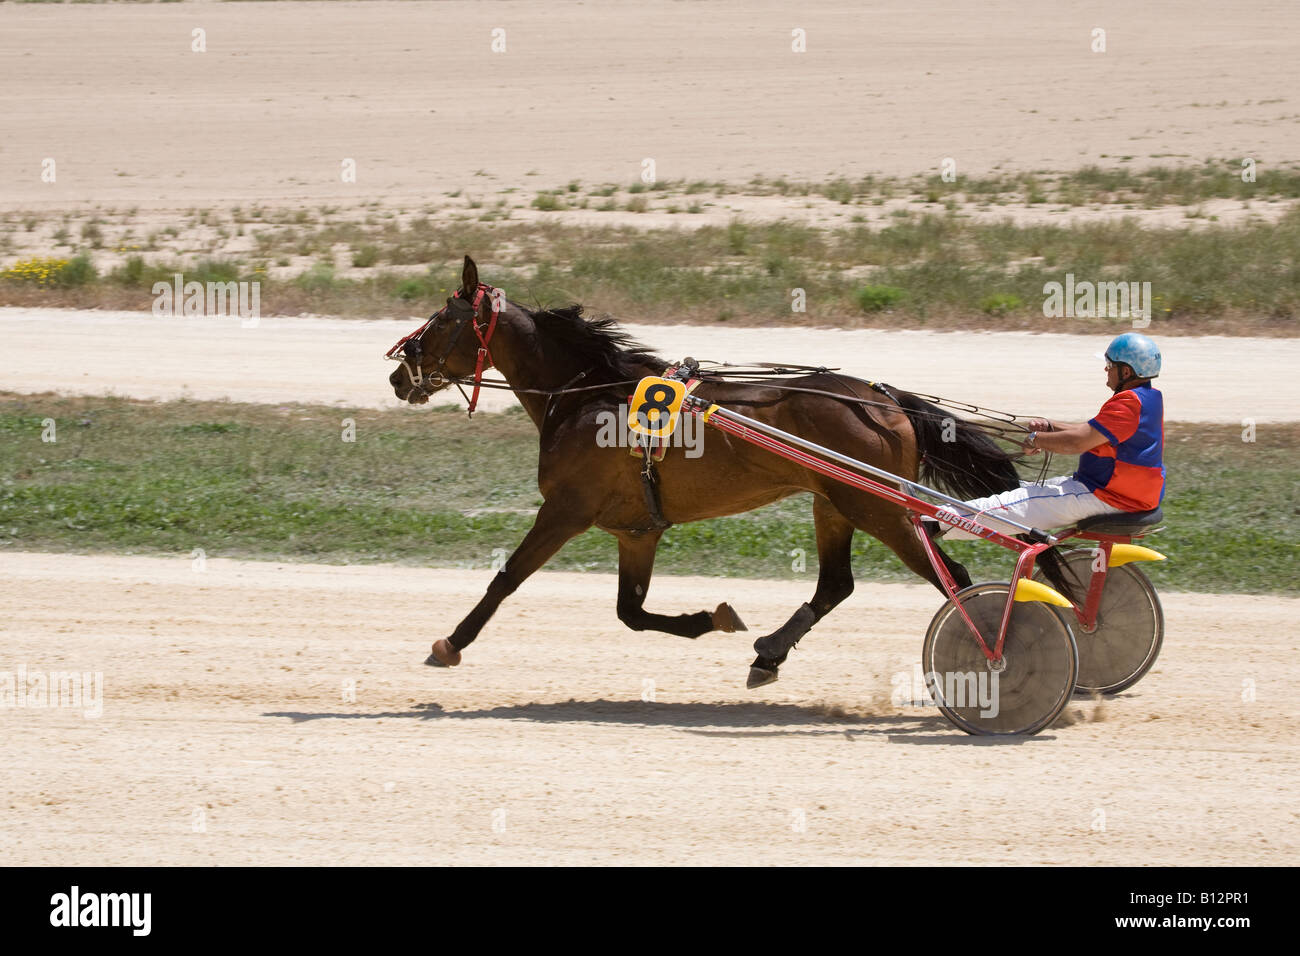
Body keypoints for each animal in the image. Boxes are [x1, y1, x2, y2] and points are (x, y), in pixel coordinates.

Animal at [388, 256, 1039, 688]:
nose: (397, 373)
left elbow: (506, 579)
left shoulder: (566, 509)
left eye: (440, 320)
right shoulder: (637, 530)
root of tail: (885, 399)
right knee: (836, 585)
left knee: (953, 577)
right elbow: (631, 613)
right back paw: (769, 652)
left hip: (876, 506)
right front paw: (714, 618)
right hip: (834, 502)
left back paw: (992, 657)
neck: (586, 395)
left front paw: (451, 642)